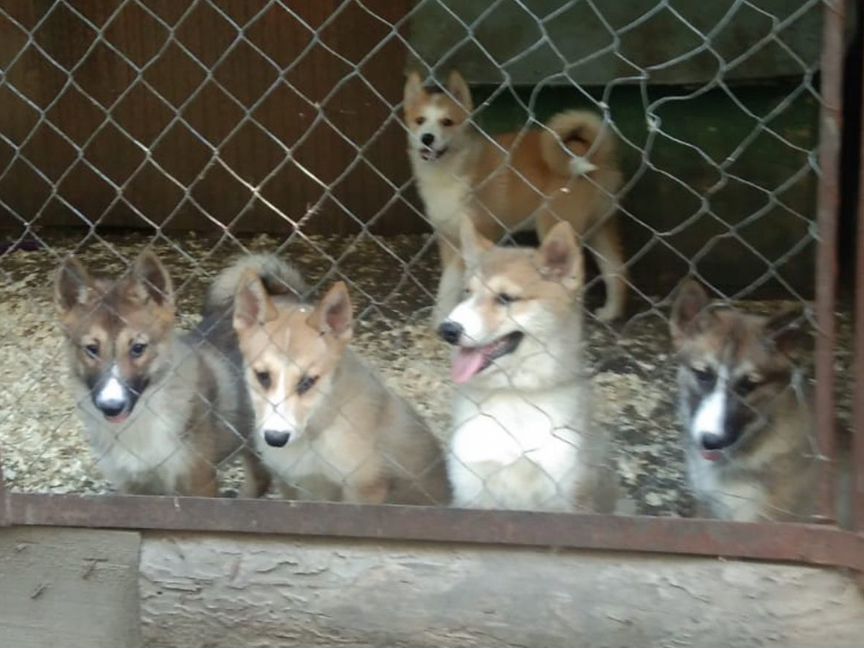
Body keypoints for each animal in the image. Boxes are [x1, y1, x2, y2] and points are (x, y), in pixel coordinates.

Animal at [54, 253, 262, 496]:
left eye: (138, 348)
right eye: (92, 349)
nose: (111, 406)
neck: (139, 420)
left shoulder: (199, 480)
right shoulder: (131, 485)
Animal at [209, 254, 448, 506]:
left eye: (308, 381)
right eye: (262, 376)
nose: (275, 438)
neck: (313, 436)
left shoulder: (362, 491)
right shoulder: (290, 485)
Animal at [404, 69, 628, 324]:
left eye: (447, 122)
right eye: (420, 120)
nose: (427, 138)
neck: (455, 168)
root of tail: (594, 154)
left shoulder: (478, 234)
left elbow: (454, 283)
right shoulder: (448, 238)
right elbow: (447, 285)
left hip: (555, 224)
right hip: (600, 227)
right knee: (616, 270)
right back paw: (610, 312)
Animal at [438, 220, 616, 512]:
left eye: (505, 298)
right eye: (467, 293)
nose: (447, 329)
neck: (514, 396)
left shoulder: (563, 496)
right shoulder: (473, 489)